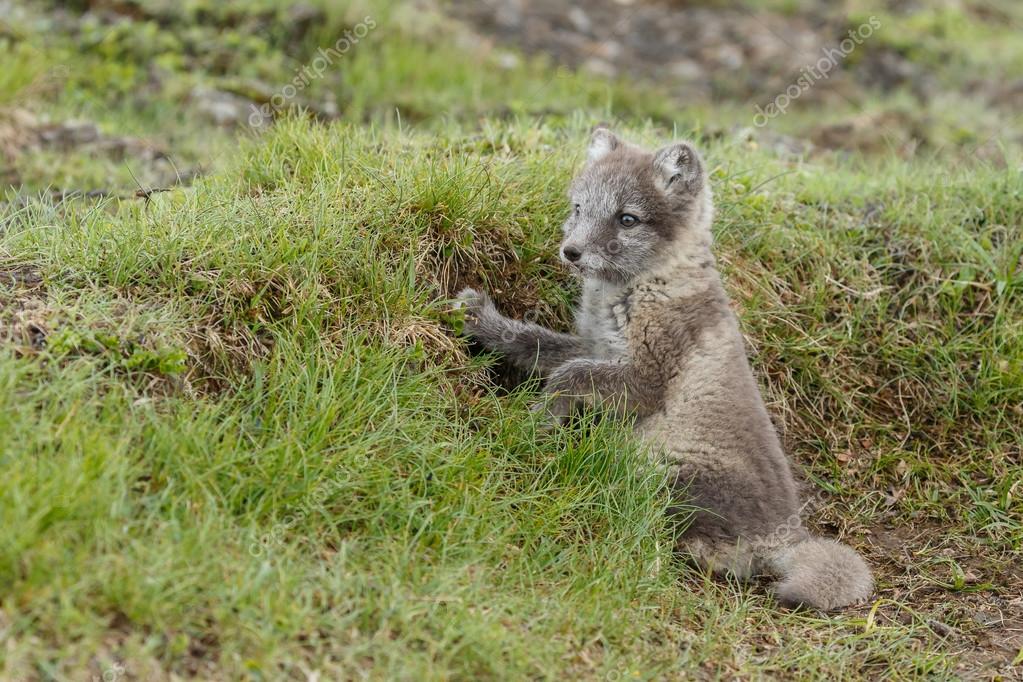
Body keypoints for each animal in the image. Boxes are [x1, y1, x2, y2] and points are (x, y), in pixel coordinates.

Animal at [456, 126, 873, 610]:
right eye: (579, 207)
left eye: (627, 219)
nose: (570, 252)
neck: (645, 286)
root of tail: (787, 537)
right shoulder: (593, 345)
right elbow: (534, 344)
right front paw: (481, 319)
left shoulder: (646, 379)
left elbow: (569, 375)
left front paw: (538, 422)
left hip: (672, 467)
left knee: (708, 548)